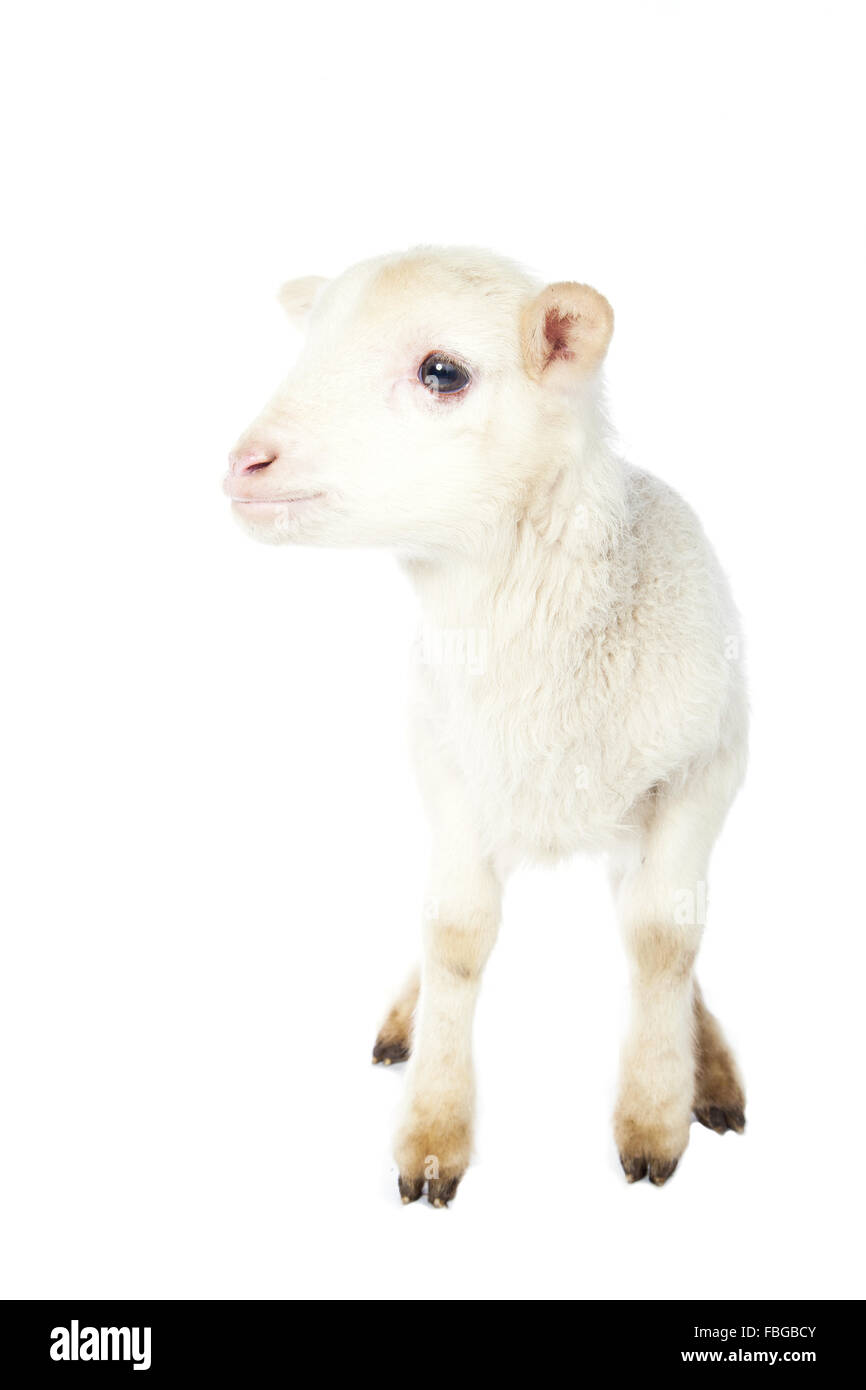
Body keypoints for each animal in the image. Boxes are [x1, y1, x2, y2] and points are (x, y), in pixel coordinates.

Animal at [225, 247, 748, 1205]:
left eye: (443, 372)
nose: (245, 463)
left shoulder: (703, 773)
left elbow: (663, 940)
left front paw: (654, 1117)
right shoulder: (453, 773)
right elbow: (456, 939)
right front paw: (433, 1132)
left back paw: (712, 1072)